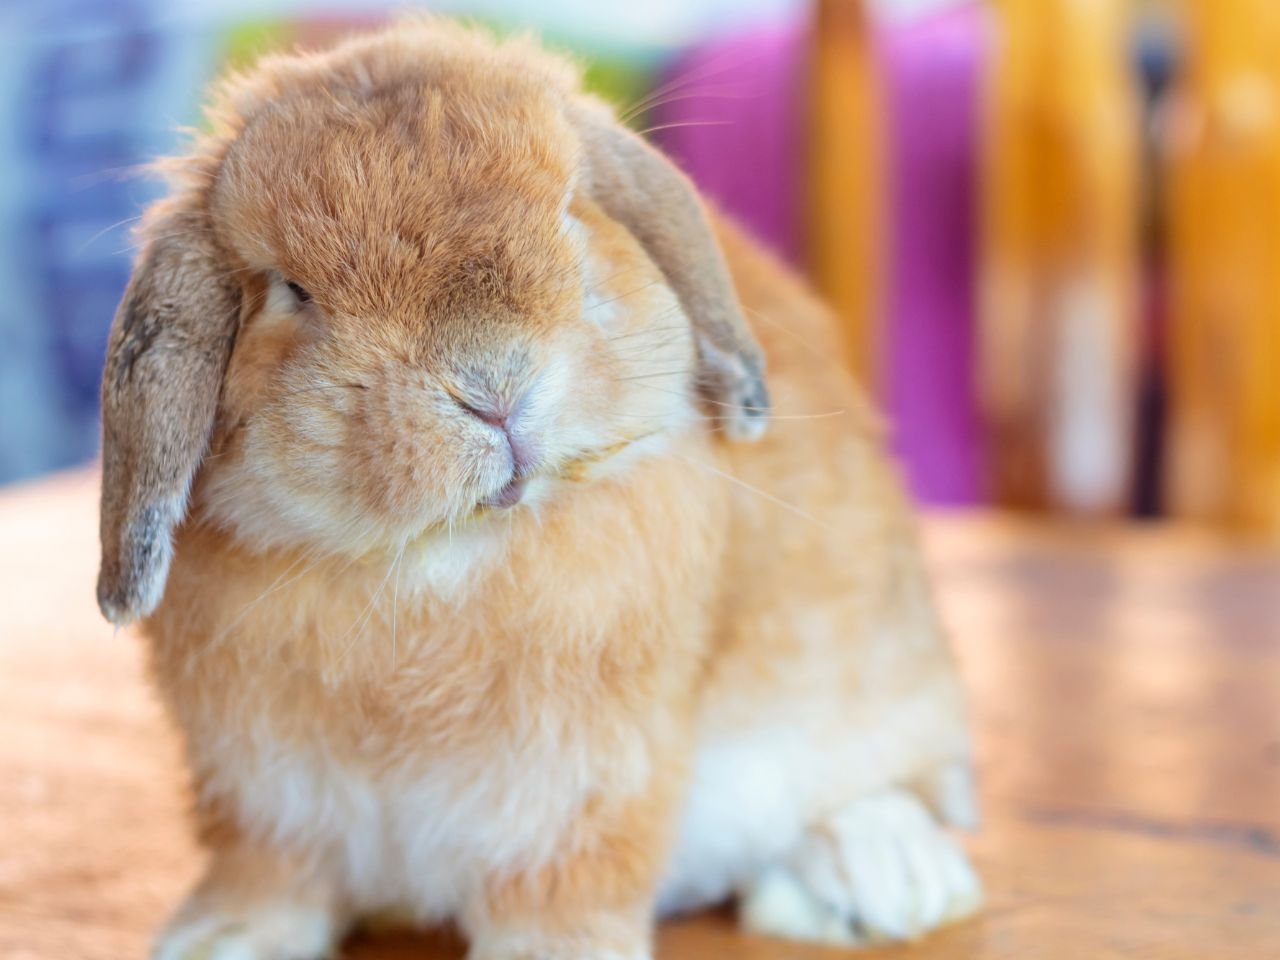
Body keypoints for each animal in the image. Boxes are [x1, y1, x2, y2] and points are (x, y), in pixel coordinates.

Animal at [96, 18, 981, 960]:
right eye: (291, 290)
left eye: (568, 213)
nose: (494, 385)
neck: (433, 554)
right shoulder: (261, 791)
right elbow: (268, 874)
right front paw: (219, 938)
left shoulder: (584, 786)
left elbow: (563, 885)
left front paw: (553, 952)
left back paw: (882, 878)